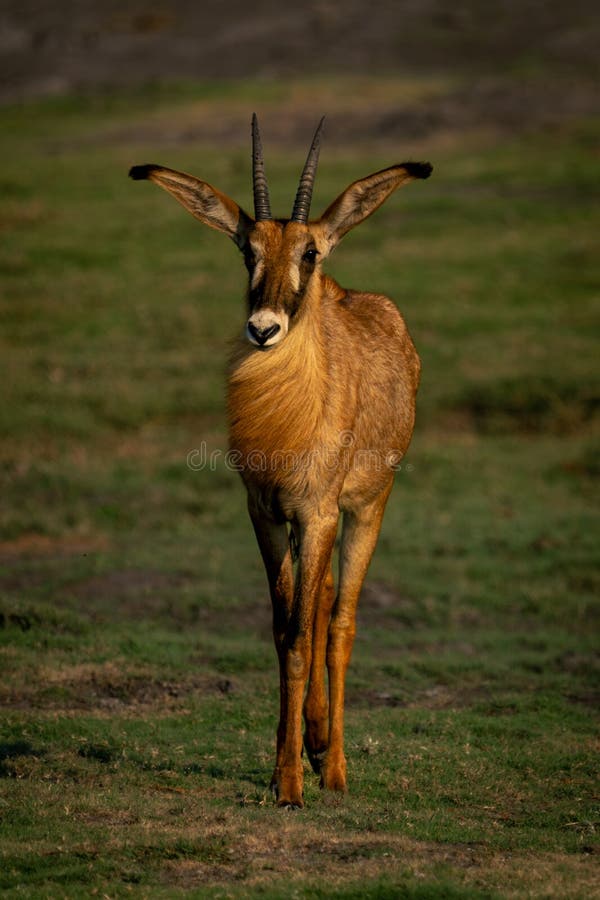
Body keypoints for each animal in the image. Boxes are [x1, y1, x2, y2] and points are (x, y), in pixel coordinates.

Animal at [129, 116, 431, 808]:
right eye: (247, 250)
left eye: (310, 252)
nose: (263, 329)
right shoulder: (267, 515)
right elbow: (280, 628)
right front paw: (282, 765)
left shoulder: (318, 513)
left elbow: (301, 637)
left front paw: (292, 784)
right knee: (318, 606)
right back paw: (316, 743)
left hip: (365, 510)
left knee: (339, 622)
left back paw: (335, 766)